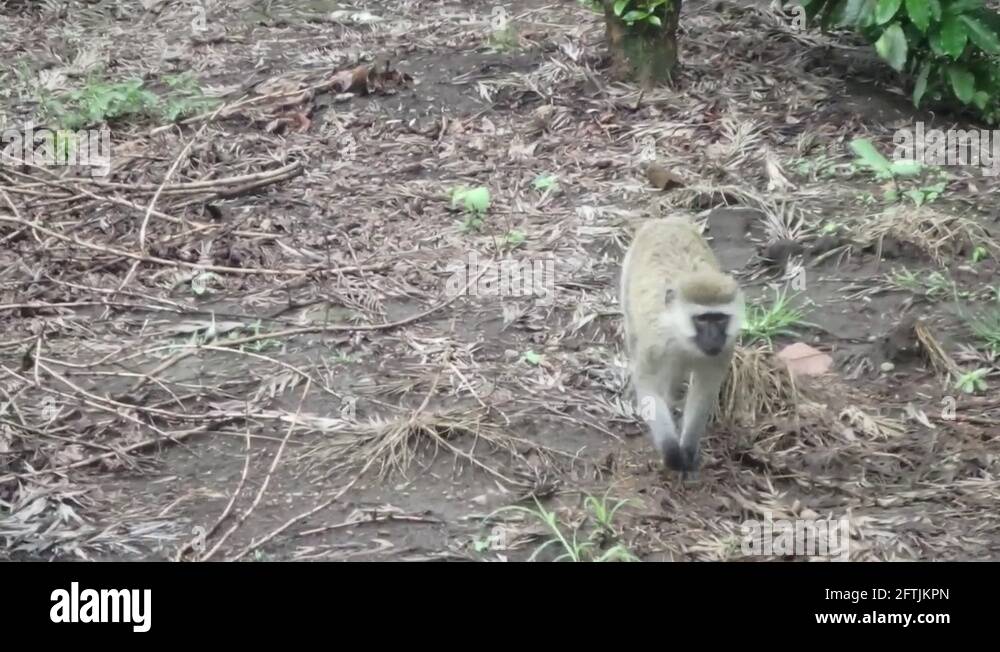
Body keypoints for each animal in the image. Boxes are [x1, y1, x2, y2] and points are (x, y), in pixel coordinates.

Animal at [619, 215, 744, 475]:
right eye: (702, 319)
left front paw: (687, 448)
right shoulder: (655, 344)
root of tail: (664, 220)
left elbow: (704, 389)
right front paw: (671, 452)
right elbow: (648, 386)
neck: (683, 338)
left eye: (720, 319)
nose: (713, 338)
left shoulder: (724, 349)